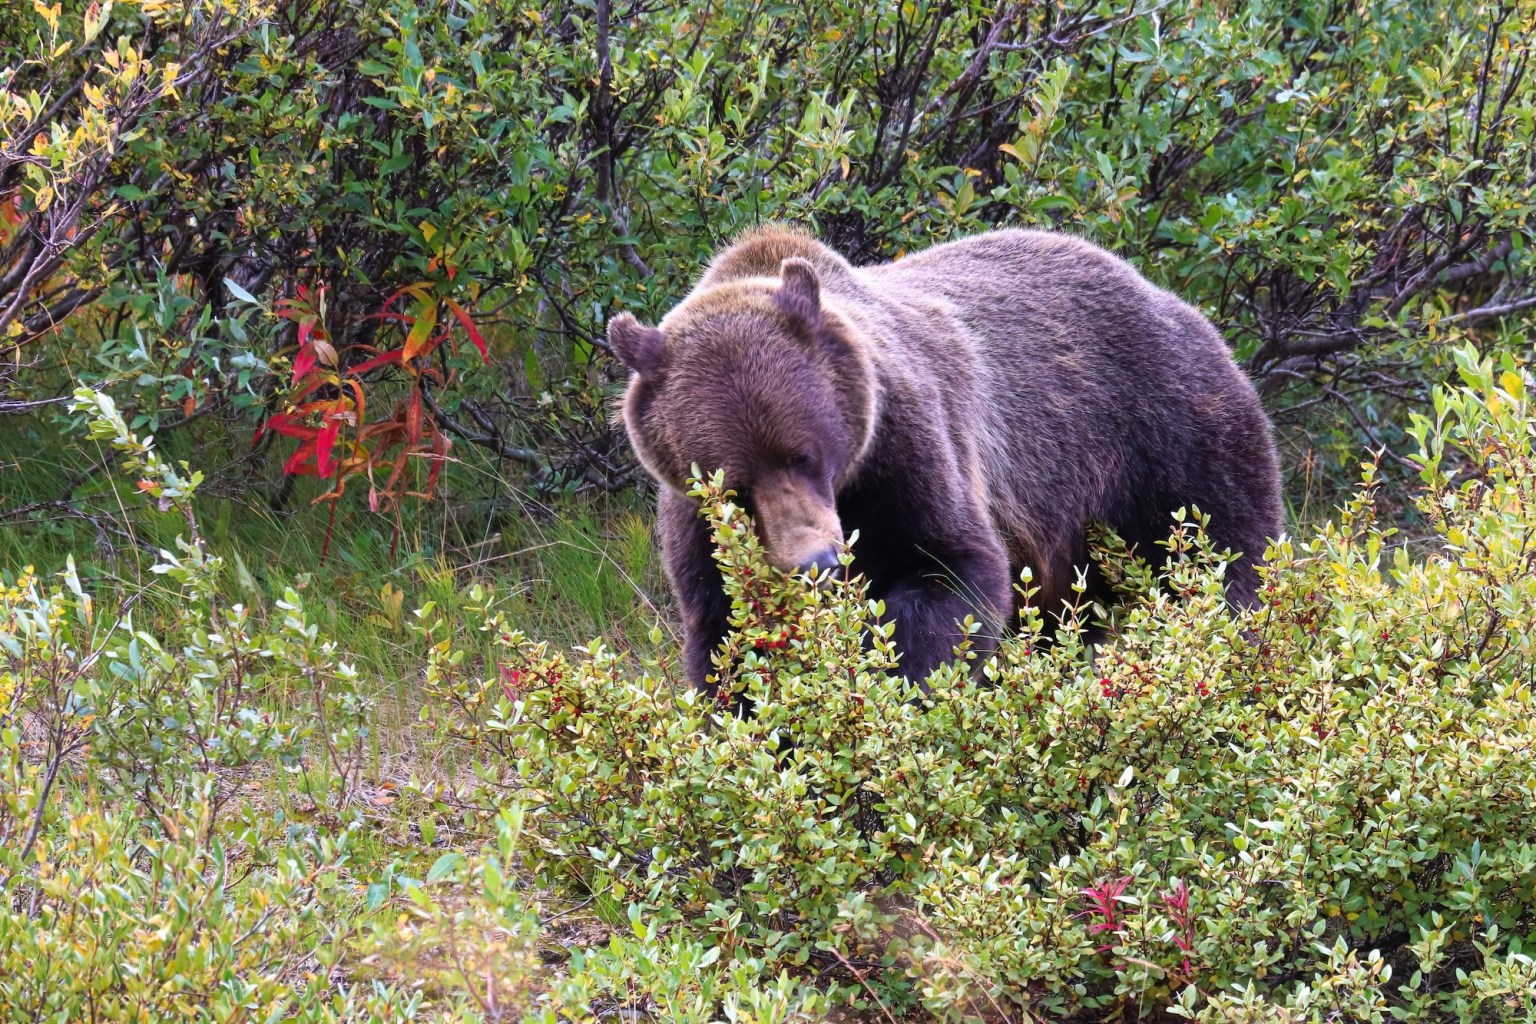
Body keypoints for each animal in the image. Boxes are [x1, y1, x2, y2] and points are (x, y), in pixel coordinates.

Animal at [607, 224, 1283, 693]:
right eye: (734, 487)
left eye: (805, 456)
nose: (816, 564)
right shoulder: (694, 524)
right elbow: (723, 633)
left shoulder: (909, 443)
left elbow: (950, 569)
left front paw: (896, 681)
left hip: (1166, 435)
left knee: (1224, 551)